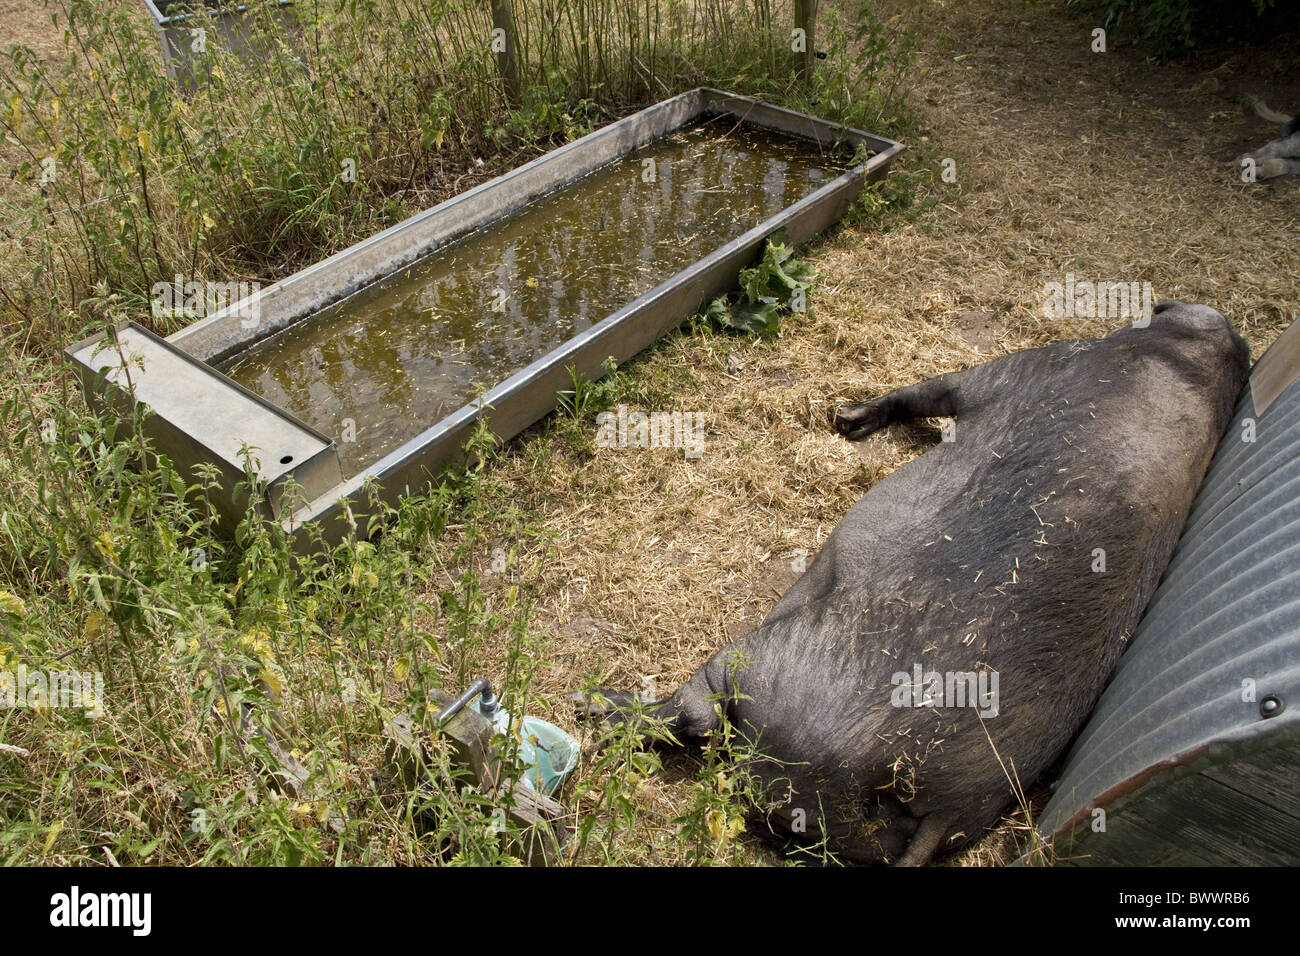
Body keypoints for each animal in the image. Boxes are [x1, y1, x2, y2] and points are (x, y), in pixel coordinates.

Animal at [578, 301, 1250, 864]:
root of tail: (937, 801)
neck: (1184, 364)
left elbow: (935, 387)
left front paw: (844, 419)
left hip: (757, 662)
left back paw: (595, 707)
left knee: (694, 716)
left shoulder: (1026, 366)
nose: (839, 417)